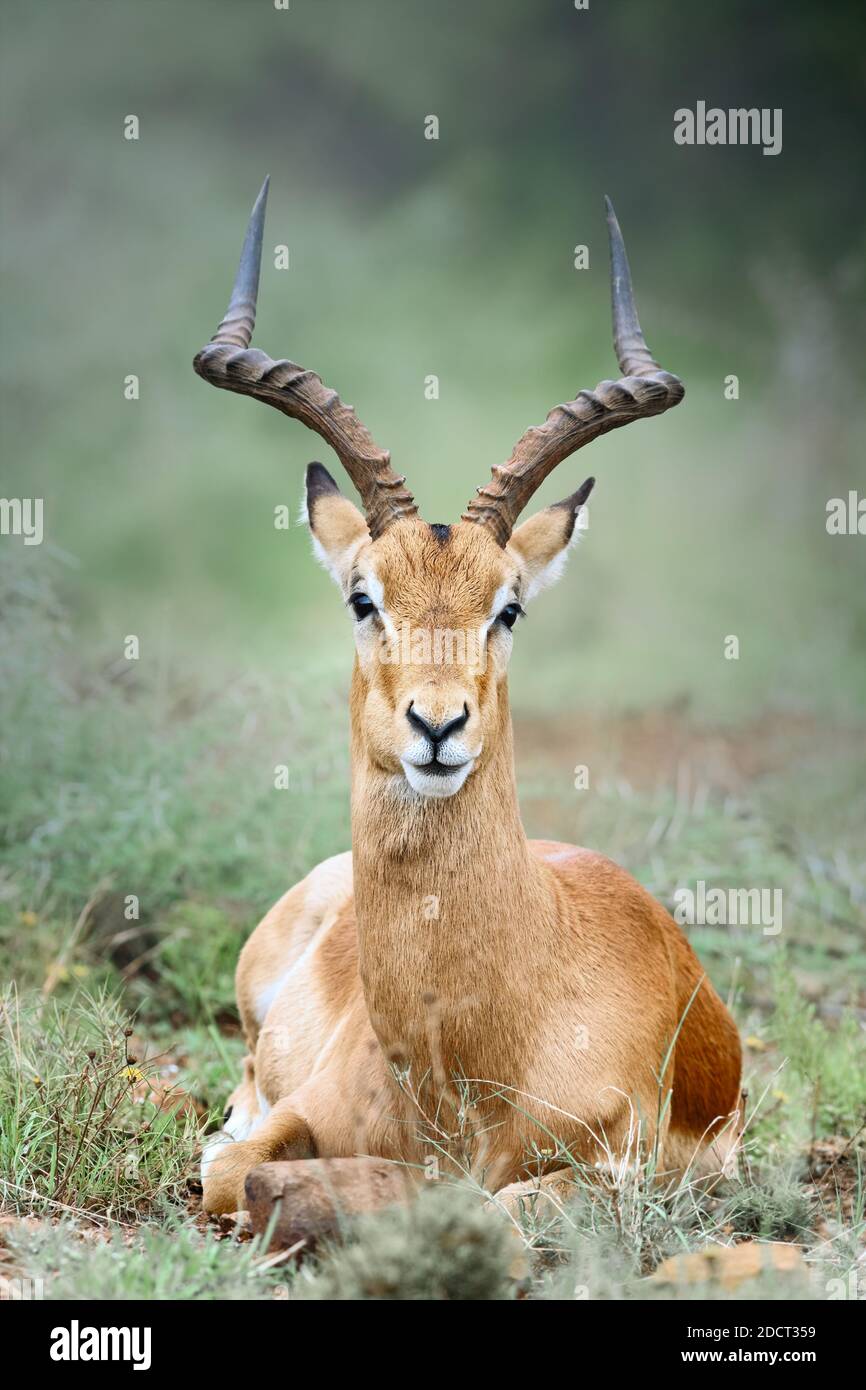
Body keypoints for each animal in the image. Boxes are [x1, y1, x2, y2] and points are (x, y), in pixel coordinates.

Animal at [194, 179, 742, 1216]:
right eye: (363, 597)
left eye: (509, 608)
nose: (438, 727)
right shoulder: (305, 1110)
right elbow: (228, 1173)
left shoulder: (616, 1170)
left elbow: (505, 1206)